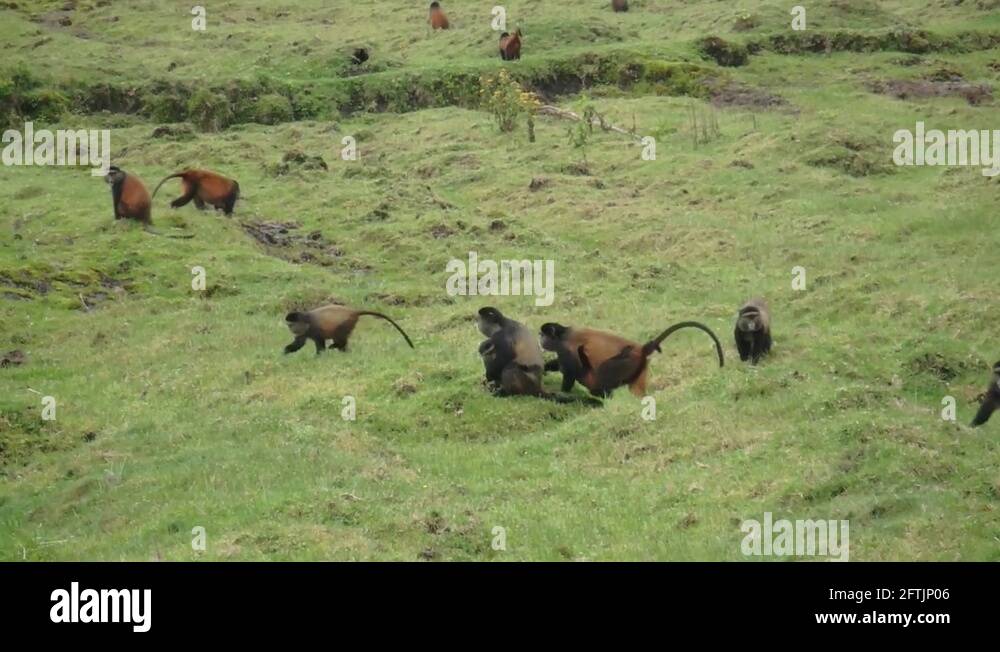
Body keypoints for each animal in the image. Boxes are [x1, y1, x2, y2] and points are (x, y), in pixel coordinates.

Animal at [284, 304, 414, 355]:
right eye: (289, 325)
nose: (291, 329)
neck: (306, 321)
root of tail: (353, 312)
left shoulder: (315, 329)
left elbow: (320, 344)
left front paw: (318, 356)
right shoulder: (303, 332)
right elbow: (299, 343)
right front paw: (285, 352)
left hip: (345, 324)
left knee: (340, 338)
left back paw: (336, 346)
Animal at [540, 320, 724, 398]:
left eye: (542, 335)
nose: (539, 339)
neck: (563, 334)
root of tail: (640, 349)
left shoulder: (565, 348)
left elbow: (570, 370)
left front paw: (562, 393)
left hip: (627, 361)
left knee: (602, 371)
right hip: (640, 366)